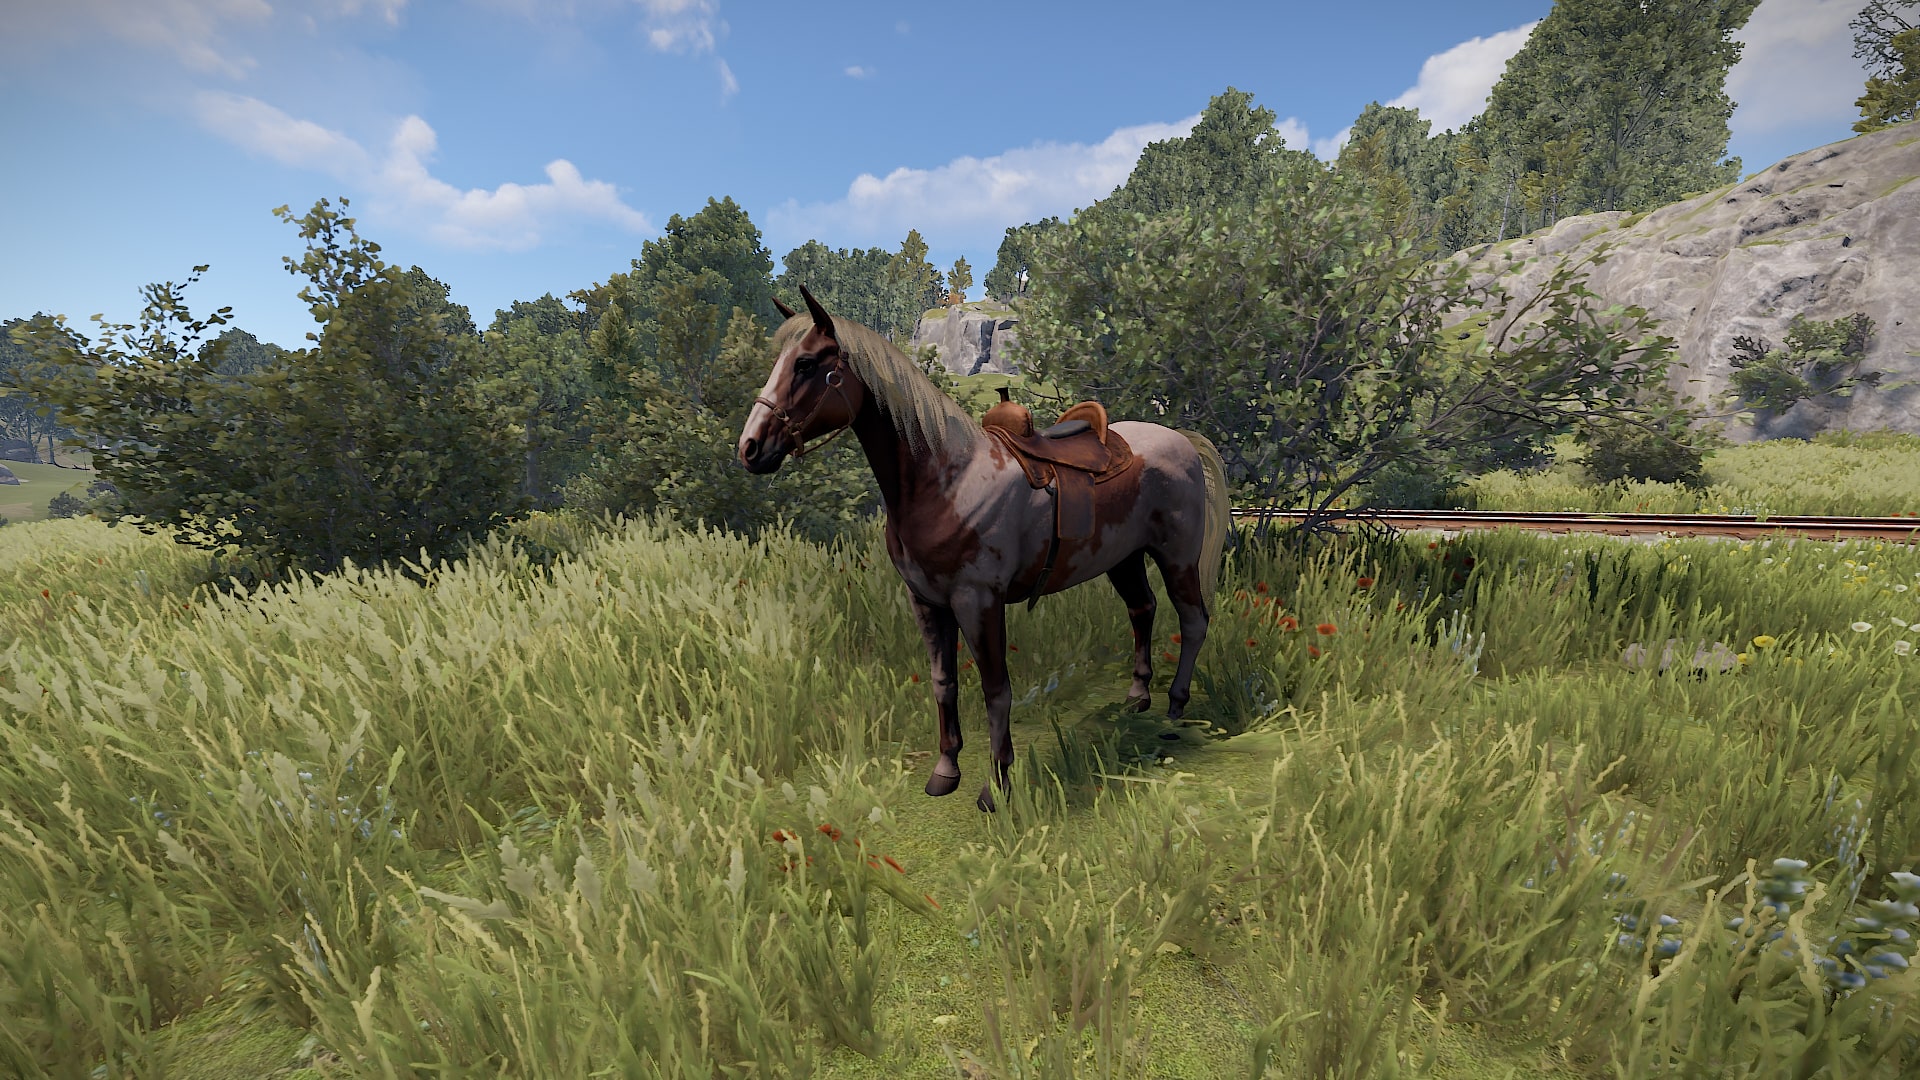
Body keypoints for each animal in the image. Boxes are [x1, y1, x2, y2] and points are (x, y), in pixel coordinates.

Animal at [738, 286, 1230, 811]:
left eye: (807, 364)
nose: (749, 448)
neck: (945, 481)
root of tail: (1181, 439)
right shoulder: (926, 602)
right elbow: (944, 682)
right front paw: (944, 771)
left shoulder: (979, 601)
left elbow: (996, 688)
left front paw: (996, 786)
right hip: (1123, 559)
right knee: (1142, 609)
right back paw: (1137, 698)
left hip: (1176, 556)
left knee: (1192, 620)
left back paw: (1175, 708)